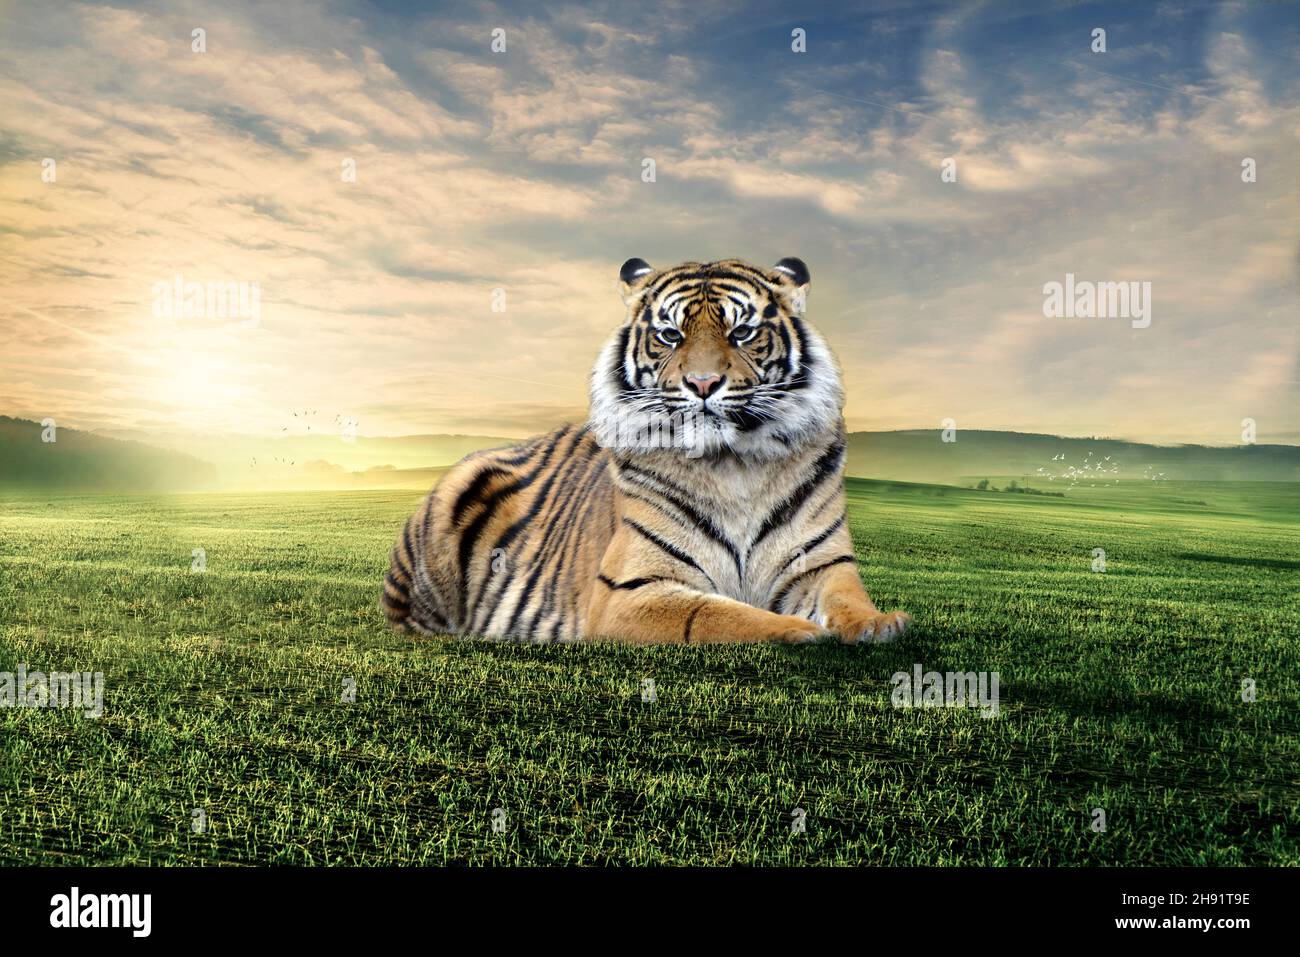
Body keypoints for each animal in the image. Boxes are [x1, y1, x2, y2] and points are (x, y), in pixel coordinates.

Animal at [381, 256, 912, 645]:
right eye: (670, 335)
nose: (703, 383)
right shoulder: (633, 591)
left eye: (741, 332)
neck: (734, 465)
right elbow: (723, 616)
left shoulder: (821, 566)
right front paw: (798, 631)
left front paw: (880, 624)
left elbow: (845, 599)